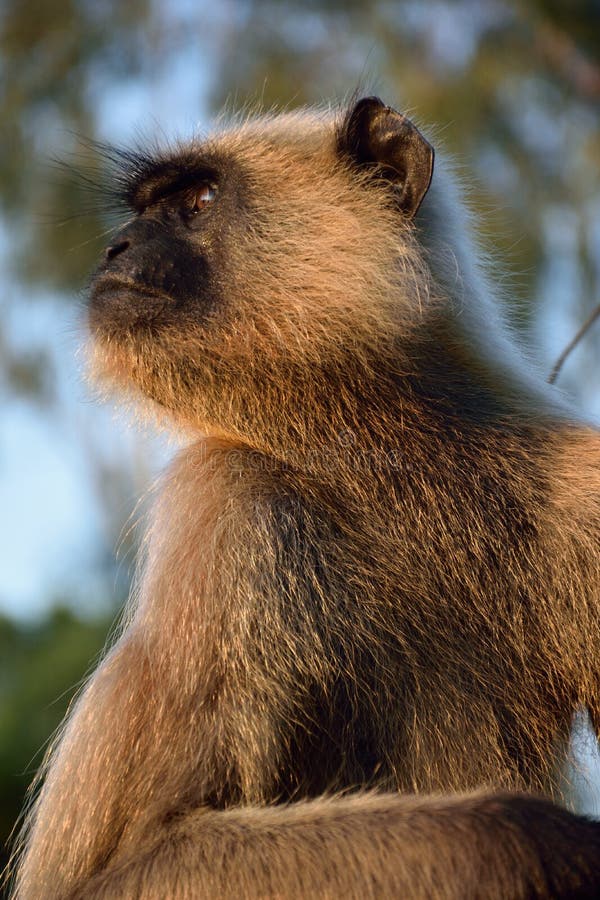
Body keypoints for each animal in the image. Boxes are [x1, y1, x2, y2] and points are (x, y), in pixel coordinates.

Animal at [8, 96, 600, 899]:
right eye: (142, 215)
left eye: (198, 202)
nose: (115, 249)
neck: (380, 454)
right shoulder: (223, 494)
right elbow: (144, 856)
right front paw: (555, 843)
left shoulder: (581, 493)